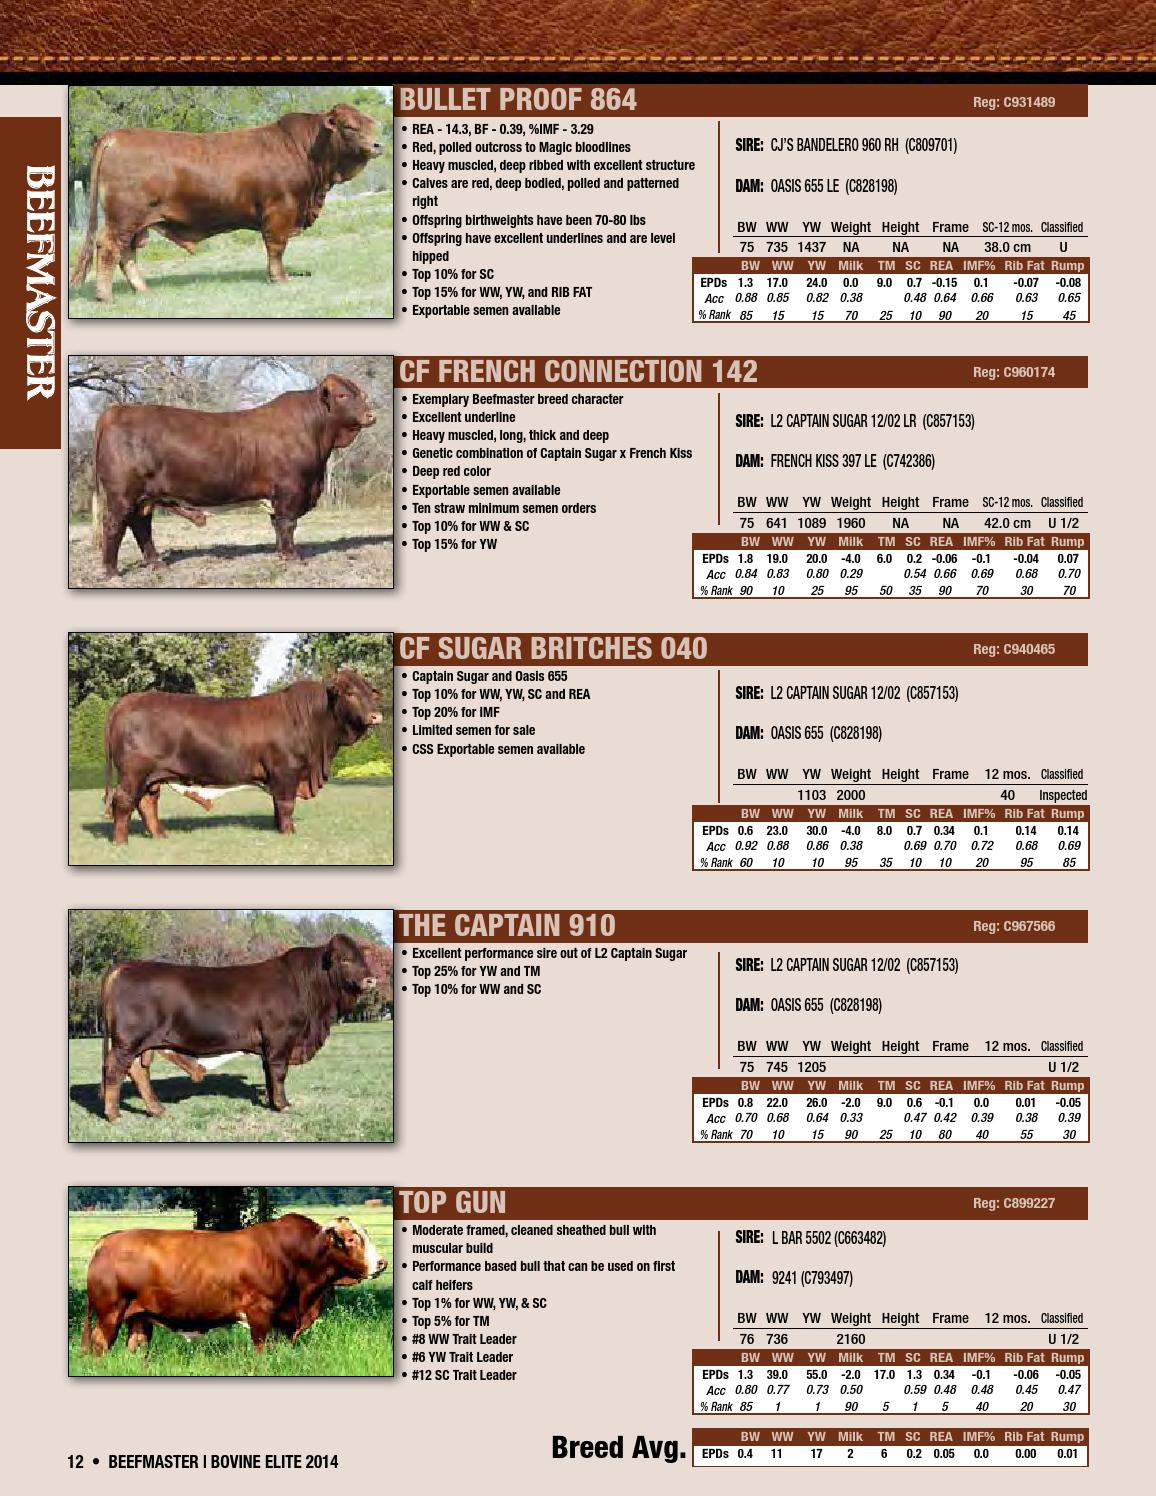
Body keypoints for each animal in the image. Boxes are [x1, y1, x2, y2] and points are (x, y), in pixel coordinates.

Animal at [69, 104, 384, 302]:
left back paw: (143, 290)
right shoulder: (280, 212)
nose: (378, 145)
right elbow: (276, 248)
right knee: (109, 248)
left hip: (135, 222)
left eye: (372, 124)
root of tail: (116, 135)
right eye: (349, 126)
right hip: (123, 217)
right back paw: (105, 296)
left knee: (127, 253)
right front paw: (280, 279)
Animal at [81, 1213, 386, 1356]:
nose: (382, 1263)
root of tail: (109, 1239)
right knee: (99, 1344)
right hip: (110, 1312)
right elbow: (262, 1349)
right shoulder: (260, 1312)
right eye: (351, 1239)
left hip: (140, 1317)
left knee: (136, 1346)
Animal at [91, 374, 377, 577]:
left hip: (144, 498)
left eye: (360, 393)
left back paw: (157, 564)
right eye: (342, 395)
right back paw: (111, 572)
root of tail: (117, 410)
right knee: (114, 526)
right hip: (122, 495)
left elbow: (277, 525)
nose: (371, 415)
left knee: (141, 526)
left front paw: (281, 555)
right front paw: (293, 558)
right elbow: (287, 524)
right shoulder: (290, 489)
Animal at [99, 932, 379, 1123]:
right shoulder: (281, 1038)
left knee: (137, 1071)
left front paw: (272, 1103)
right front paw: (283, 1105)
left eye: (362, 958)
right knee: (115, 1070)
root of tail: (127, 965)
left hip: (139, 1043)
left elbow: (269, 1074)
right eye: (344, 960)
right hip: (128, 1041)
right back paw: (114, 1115)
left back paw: (157, 1110)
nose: (371, 979)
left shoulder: (269, 1045)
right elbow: (279, 1072)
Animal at [102, 668, 384, 844]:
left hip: (152, 776)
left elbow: (278, 805)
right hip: (134, 772)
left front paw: (281, 829)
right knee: (124, 801)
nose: (376, 716)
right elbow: (286, 804)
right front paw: (289, 833)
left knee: (147, 802)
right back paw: (121, 842)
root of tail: (127, 700)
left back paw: (160, 835)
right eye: (350, 693)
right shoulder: (286, 770)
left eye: (370, 692)